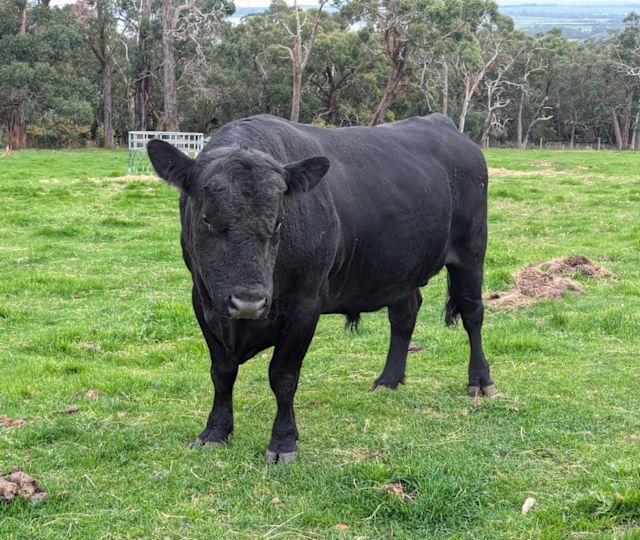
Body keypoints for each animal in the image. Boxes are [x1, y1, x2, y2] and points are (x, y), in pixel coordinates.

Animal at [147, 113, 495, 464]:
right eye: (206, 218)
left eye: (278, 222)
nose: (249, 303)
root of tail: (445, 124)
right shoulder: (204, 300)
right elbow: (222, 371)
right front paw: (215, 432)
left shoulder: (304, 305)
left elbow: (283, 376)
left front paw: (283, 441)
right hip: (397, 269)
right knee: (405, 315)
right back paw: (389, 380)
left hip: (470, 251)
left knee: (473, 314)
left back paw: (480, 381)